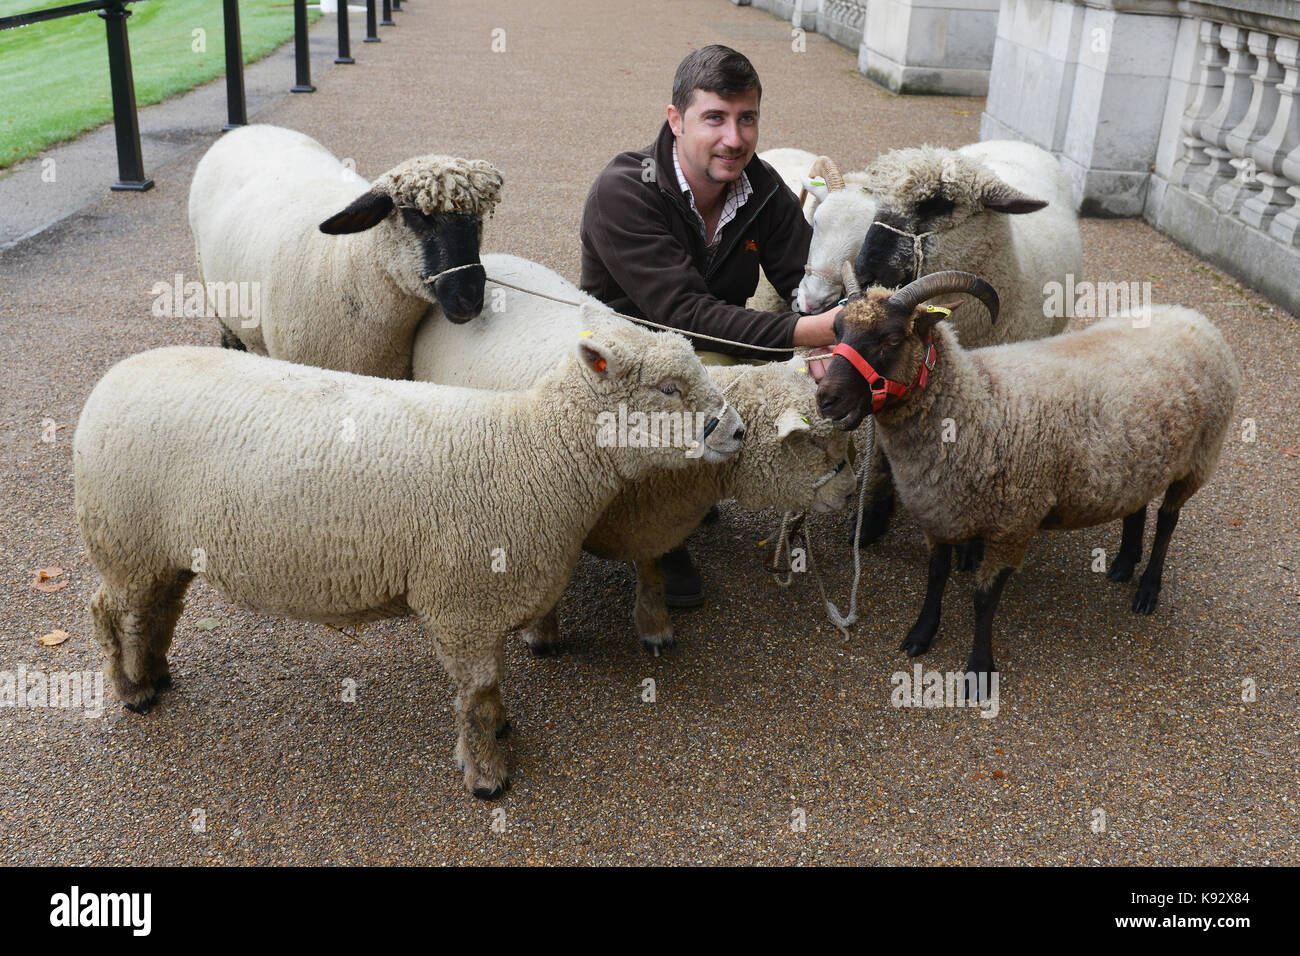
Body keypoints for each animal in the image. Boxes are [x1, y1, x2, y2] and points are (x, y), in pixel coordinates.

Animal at [73, 314, 744, 799]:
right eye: (668, 388)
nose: (736, 431)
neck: (532, 451)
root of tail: (110, 380)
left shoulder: (479, 605)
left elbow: (488, 689)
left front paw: (499, 732)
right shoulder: (460, 603)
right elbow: (477, 694)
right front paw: (487, 775)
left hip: (159, 549)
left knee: (156, 610)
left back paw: (153, 673)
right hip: (122, 538)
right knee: (109, 612)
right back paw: (129, 690)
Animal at [414, 254, 857, 652]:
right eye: (815, 442)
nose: (851, 490)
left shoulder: (648, 518)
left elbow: (651, 572)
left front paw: (655, 626)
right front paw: (541, 633)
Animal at [814, 271, 1241, 698]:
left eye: (891, 339)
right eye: (837, 331)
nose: (826, 399)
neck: (976, 402)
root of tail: (1191, 316)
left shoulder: (1014, 524)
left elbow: (984, 600)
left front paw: (979, 669)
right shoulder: (939, 512)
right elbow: (935, 579)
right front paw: (921, 635)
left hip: (1199, 457)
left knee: (1169, 519)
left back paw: (1148, 589)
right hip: (1141, 459)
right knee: (1136, 506)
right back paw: (1122, 564)